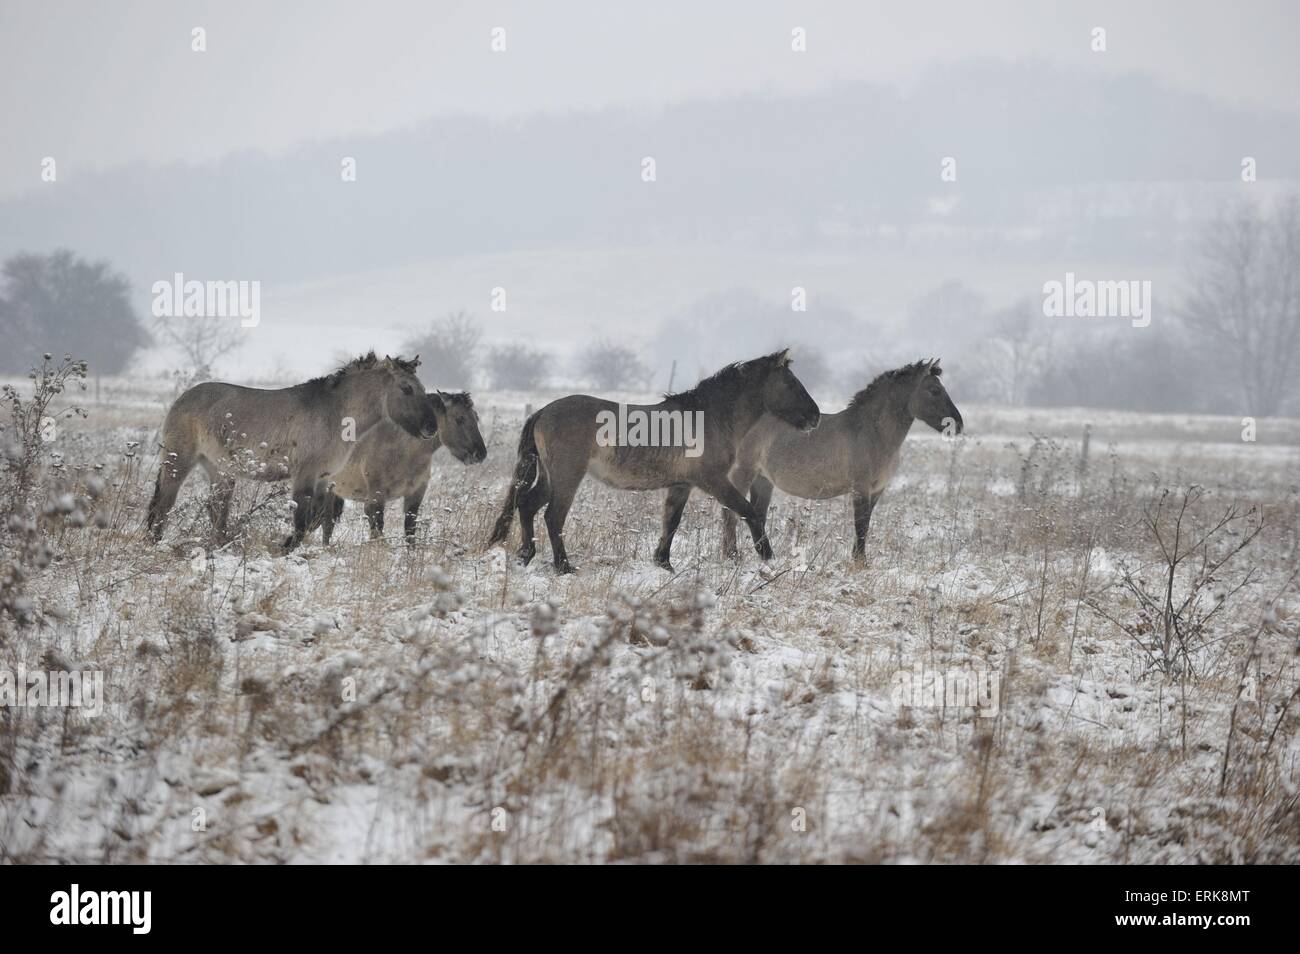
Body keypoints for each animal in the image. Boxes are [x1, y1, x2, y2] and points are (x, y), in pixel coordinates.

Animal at [146, 352, 437, 552]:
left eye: (423, 389)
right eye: (406, 388)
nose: (431, 427)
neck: (335, 413)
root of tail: (182, 398)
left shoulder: (323, 478)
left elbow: (315, 519)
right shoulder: (305, 474)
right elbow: (301, 519)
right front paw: (286, 549)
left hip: (219, 470)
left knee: (217, 510)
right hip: (179, 462)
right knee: (163, 505)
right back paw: (154, 543)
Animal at [310, 391, 487, 544]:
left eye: (476, 418)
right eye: (459, 419)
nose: (481, 454)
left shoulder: (415, 495)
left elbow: (409, 531)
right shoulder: (376, 498)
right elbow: (377, 530)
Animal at [488, 349, 820, 573]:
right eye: (791, 383)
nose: (815, 417)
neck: (710, 418)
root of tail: (543, 411)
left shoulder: (682, 484)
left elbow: (671, 521)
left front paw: (663, 564)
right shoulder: (713, 481)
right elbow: (750, 511)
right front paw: (768, 557)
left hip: (549, 475)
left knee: (527, 505)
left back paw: (525, 555)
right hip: (568, 476)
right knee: (553, 516)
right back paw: (563, 566)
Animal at [720, 358, 963, 561]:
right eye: (934, 390)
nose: (958, 424)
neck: (873, 433)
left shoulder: (877, 490)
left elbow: (866, 524)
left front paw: (859, 560)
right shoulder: (861, 488)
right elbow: (861, 525)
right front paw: (860, 562)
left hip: (763, 480)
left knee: (756, 515)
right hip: (744, 473)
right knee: (730, 512)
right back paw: (732, 556)